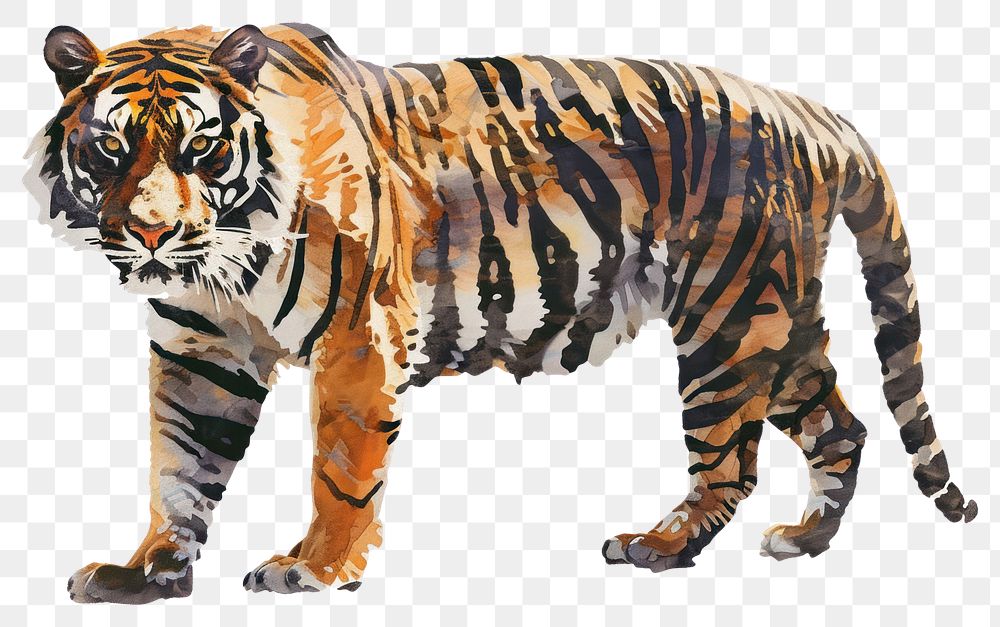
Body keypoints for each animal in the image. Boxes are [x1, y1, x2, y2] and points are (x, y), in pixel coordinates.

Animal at [26, 23, 977, 604]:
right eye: (109, 146)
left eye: (202, 145)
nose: (152, 231)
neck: (223, 264)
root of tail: (807, 112)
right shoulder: (201, 347)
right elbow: (181, 463)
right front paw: (148, 572)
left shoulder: (357, 338)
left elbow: (338, 467)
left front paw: (315, 568)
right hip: (778, 320)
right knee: (841, 424)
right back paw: (806, 539)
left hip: (729, 320)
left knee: (730, 464)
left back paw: (657, 547)